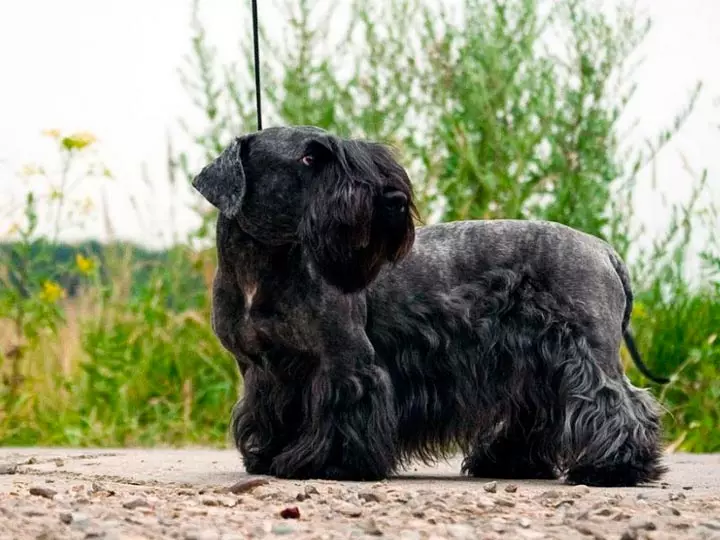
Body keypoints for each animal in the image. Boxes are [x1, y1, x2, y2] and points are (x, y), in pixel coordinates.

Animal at [193, 125, 668, 486]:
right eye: (310, 159)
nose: (394, 200)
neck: (262, 271)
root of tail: (604, 250)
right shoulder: (263, 370)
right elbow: (271, 411)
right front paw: (268, 454)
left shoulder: (346, 361)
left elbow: (343, 411)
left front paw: (332, 464)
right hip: (539, 363)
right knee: (543, 413)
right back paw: (508, 462)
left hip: (586, 352)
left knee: (619, 404)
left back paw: (613, 469)